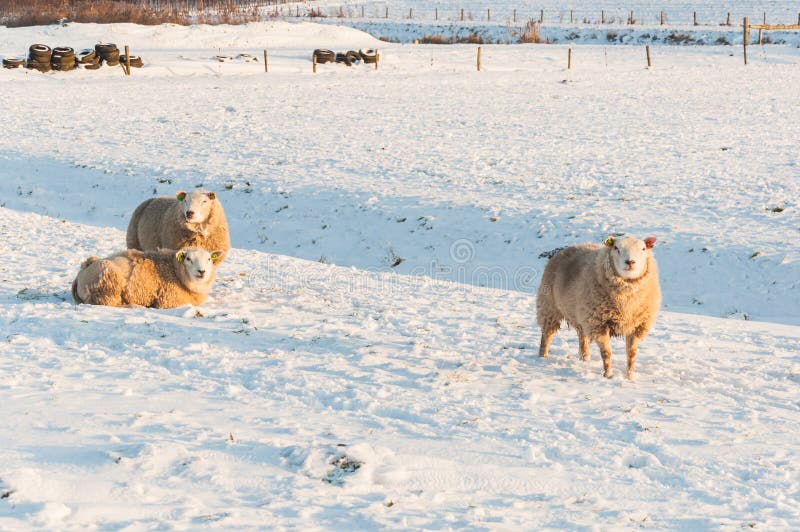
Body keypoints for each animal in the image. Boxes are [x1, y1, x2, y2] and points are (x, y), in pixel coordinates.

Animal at [71, 248, 223, 308]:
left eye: (209, 259)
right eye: (188, 259)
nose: (201, 271)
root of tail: (80, 275)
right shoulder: (168, 301)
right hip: (108, 283)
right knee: (110, 303)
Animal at [536, 235, 661, 380]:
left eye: (643, 248)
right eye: (616, 248)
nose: (630, 262)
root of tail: (568, 248)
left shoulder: (637, 325)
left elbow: (631, 353)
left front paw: (630, 376)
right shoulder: (599, 324)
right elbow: (606, 353)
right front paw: (608, 374)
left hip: (581, 315)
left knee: (582, 338)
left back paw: (585, 358)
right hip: (549, 307)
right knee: (547, 335)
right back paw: (542, 356)